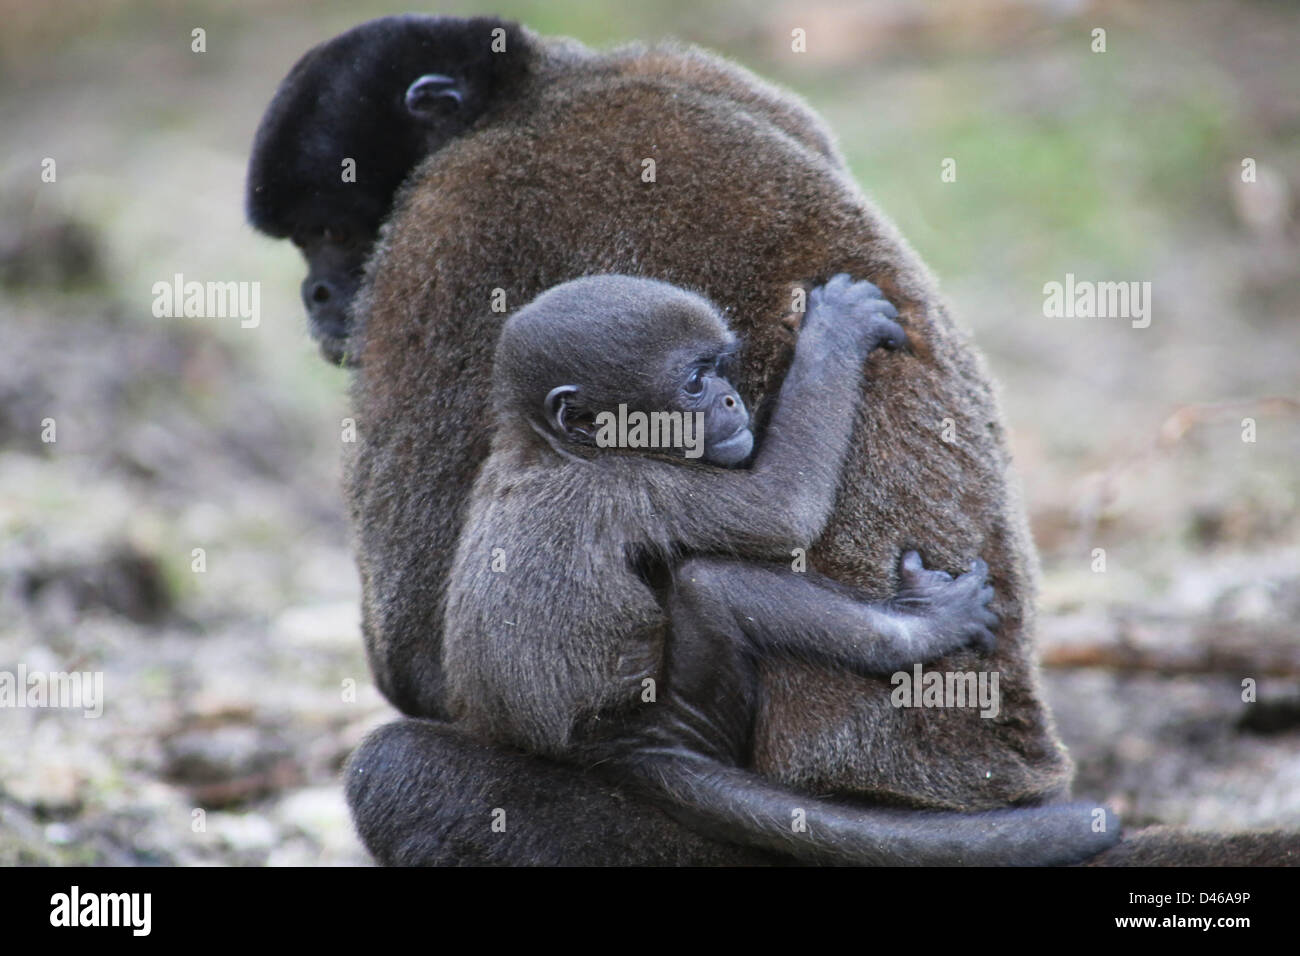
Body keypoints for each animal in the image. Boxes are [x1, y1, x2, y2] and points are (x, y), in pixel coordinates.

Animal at [436, 271, 1120, 866]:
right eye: (695, 380)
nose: (731, 398)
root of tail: (605, 751)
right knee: (712, 585)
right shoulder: (644, 483)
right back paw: (918, 631)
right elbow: (784, 508)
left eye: (719, 369)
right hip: (677, 718)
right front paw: (835, 333)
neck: (550, 447)